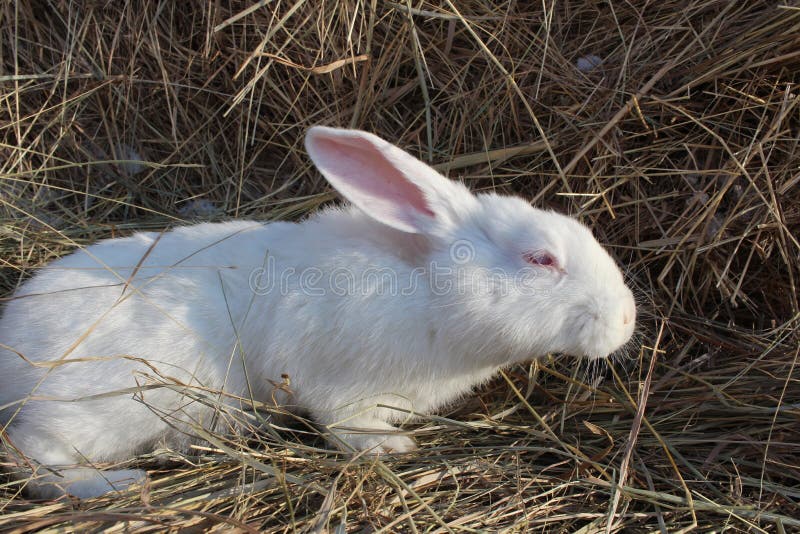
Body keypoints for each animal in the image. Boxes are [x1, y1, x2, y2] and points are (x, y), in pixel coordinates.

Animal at [0, 126, 636, 499]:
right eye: (541, 258)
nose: (626, 320)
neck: (429, 285)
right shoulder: (338, 384)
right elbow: (341, 425)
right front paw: (392, 448)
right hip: (99, 412)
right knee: (32, 458)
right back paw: (115, 483)